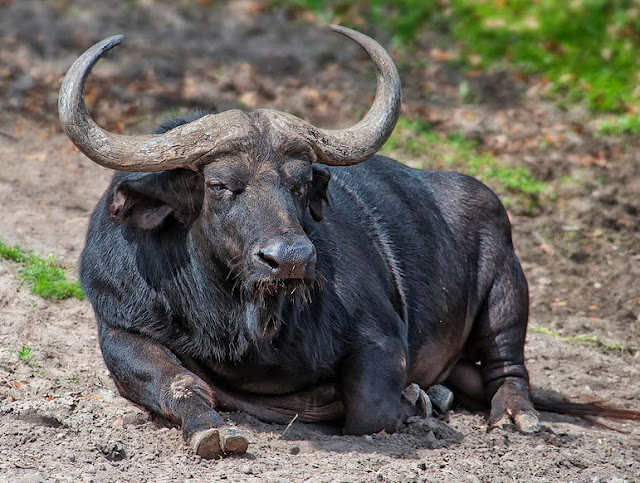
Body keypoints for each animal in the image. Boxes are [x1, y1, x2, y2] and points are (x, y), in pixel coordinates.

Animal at [59, 26, 600, 459]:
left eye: (300, 184)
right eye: (220, 185)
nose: (290, 260)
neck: (239, 318)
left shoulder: (380, 337)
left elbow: (370, 411)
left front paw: (413, 400)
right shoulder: (120, 327)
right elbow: (178, 383)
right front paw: (211, 432)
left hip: (507, 284)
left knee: (509, 364)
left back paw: (511, 415)